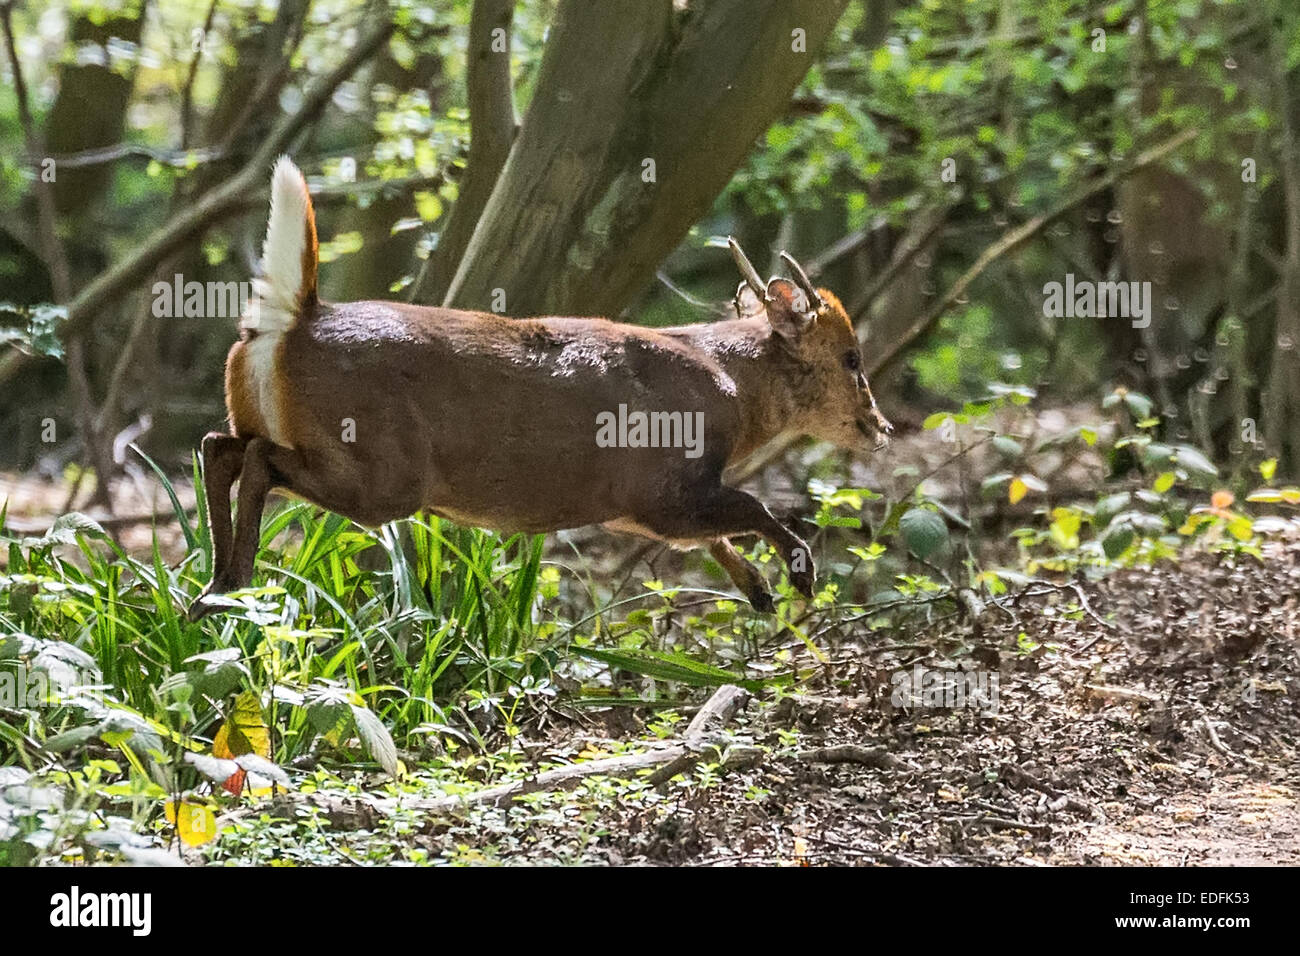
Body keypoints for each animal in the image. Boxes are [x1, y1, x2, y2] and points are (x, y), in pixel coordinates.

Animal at [187, 157, 892, 621]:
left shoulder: (635, 505)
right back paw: (232, 582)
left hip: (287, 429)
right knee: (252, 457)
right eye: (852, 356)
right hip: (380, 469)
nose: (881, 426)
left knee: (219, 445)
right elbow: (752, 507)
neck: (732, 392)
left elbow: (716, 530)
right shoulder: (659, 485)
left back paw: (214, 589)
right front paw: (800, 574)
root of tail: (297, 316)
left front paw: (759, 589)